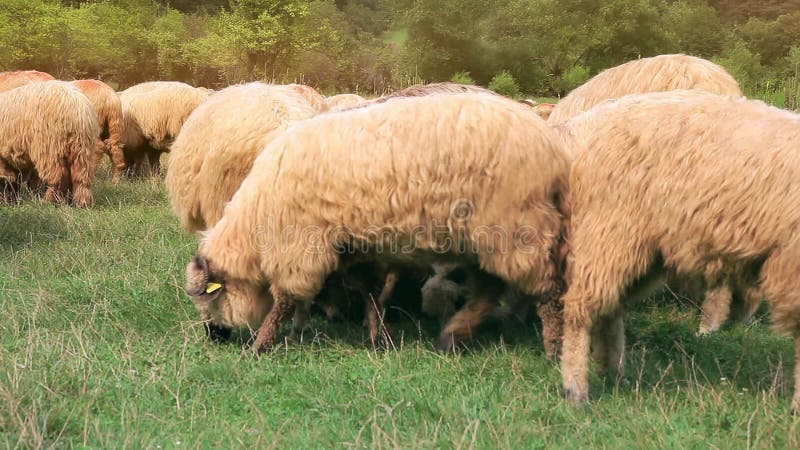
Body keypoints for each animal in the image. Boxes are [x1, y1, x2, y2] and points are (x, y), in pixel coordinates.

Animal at [184, 93, 571, 356]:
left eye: (210, 298)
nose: (213, 336)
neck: (258, 215)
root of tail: (552, 146)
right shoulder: (353, 245)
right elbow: (370, 291)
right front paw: (378, 337)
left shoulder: (299, 244)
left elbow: (284, 300)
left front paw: (262, 345)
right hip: (486, 236)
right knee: (490, 288)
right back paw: (452, 335)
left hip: (515, 228)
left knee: (548, 292)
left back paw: (553, 348)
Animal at [557, 90, 800, 413]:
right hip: (609, 231)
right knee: (580, 308)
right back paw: (575, 390)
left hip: (641, 250)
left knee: (611, 309)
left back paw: (615, 373)